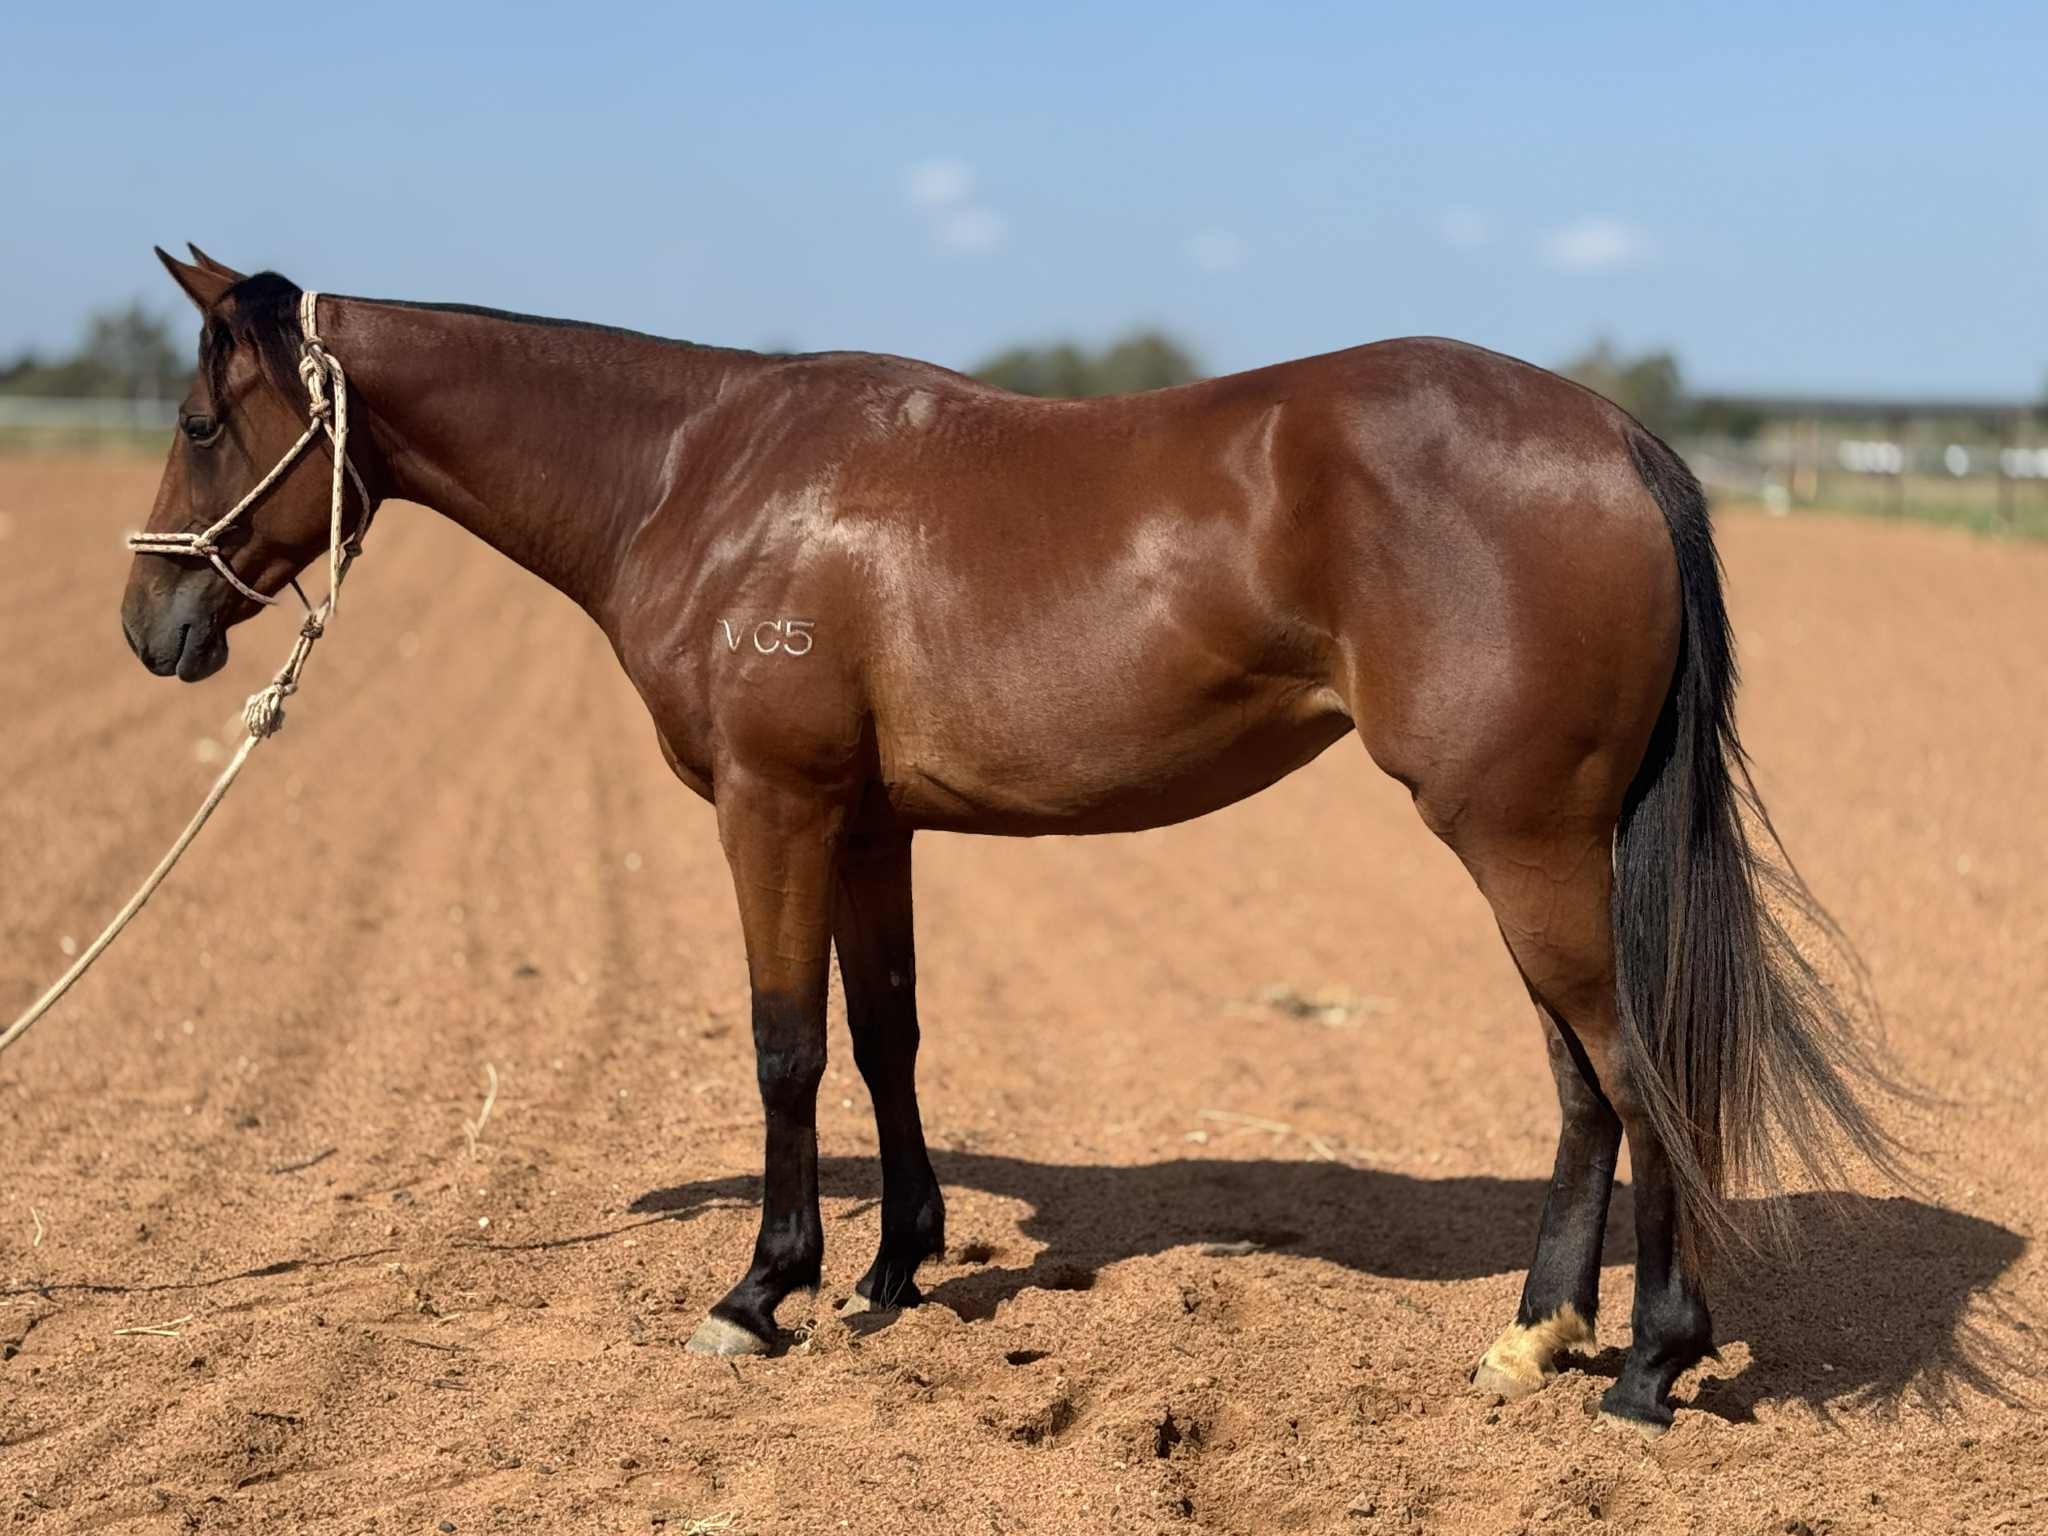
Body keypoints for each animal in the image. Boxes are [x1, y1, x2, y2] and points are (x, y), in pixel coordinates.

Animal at [121, 246, 1894, 1435]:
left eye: (205, 420)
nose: (150, 629)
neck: (699, 473)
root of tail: (1611, 438)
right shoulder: (866, 825)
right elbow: (887, 1034)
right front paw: (893, 1273)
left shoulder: (774, 809)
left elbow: (783, 1044)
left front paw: (760, 1293)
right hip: (1538, 849)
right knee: (1584, 1083)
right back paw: (1535, 1340)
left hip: (1522, 842)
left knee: (1635, 1071)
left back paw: (1650, 1365)